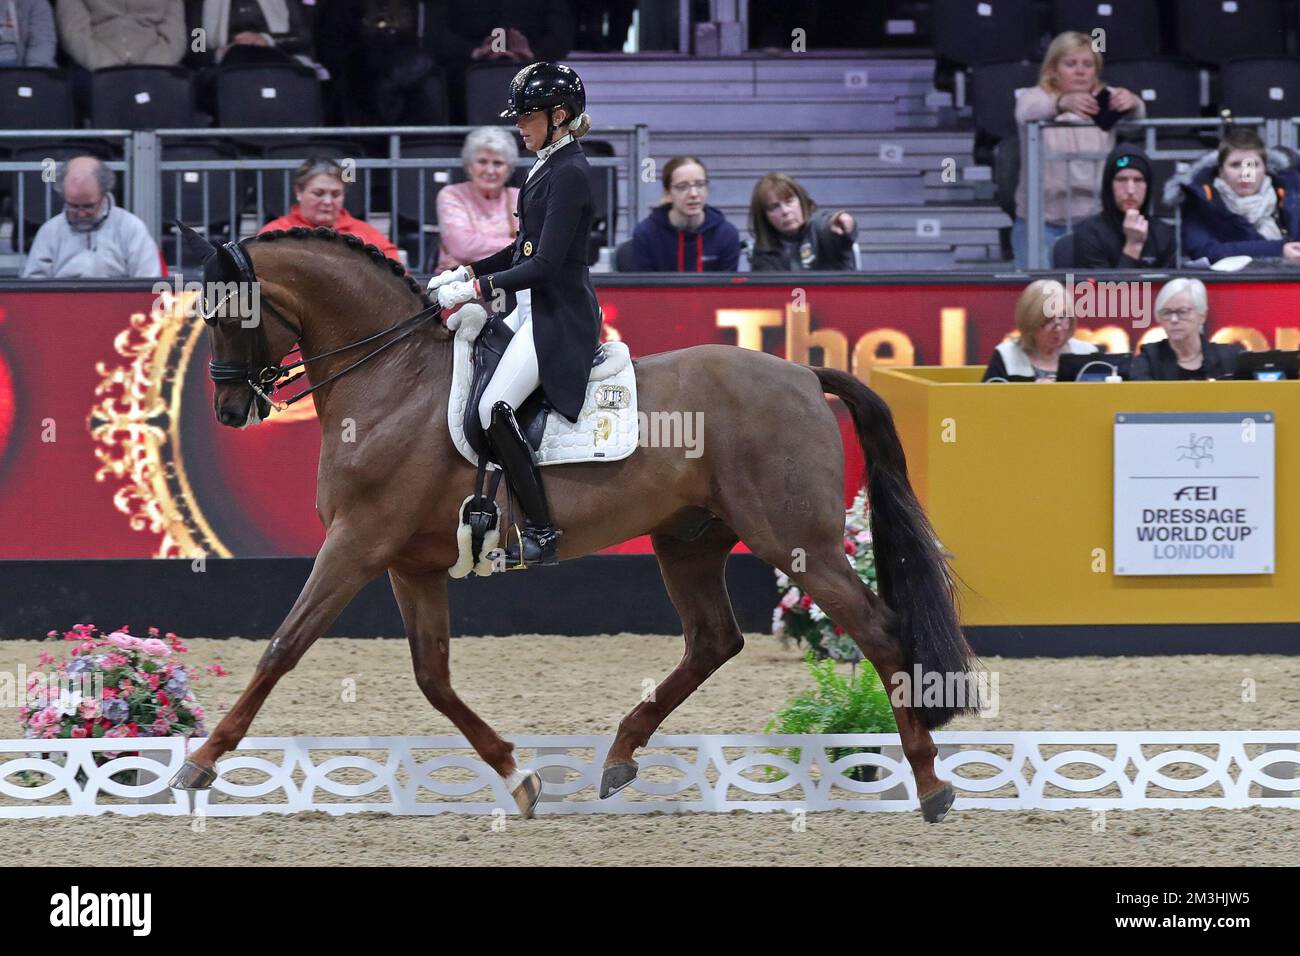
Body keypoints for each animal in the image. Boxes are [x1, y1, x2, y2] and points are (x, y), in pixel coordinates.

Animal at [170, 225, 977, 822]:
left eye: (230, 312)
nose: (229, 410)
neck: (392, 379)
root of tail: (805, 374)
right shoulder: (409, 562)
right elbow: (433, 679)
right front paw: (519, 777)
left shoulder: (357, 544)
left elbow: (283, 647)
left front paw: (201, 763)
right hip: (688, 539)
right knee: (713, 641)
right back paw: (620, 757)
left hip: (796, 541)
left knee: (877, 629)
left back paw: (931, 783)